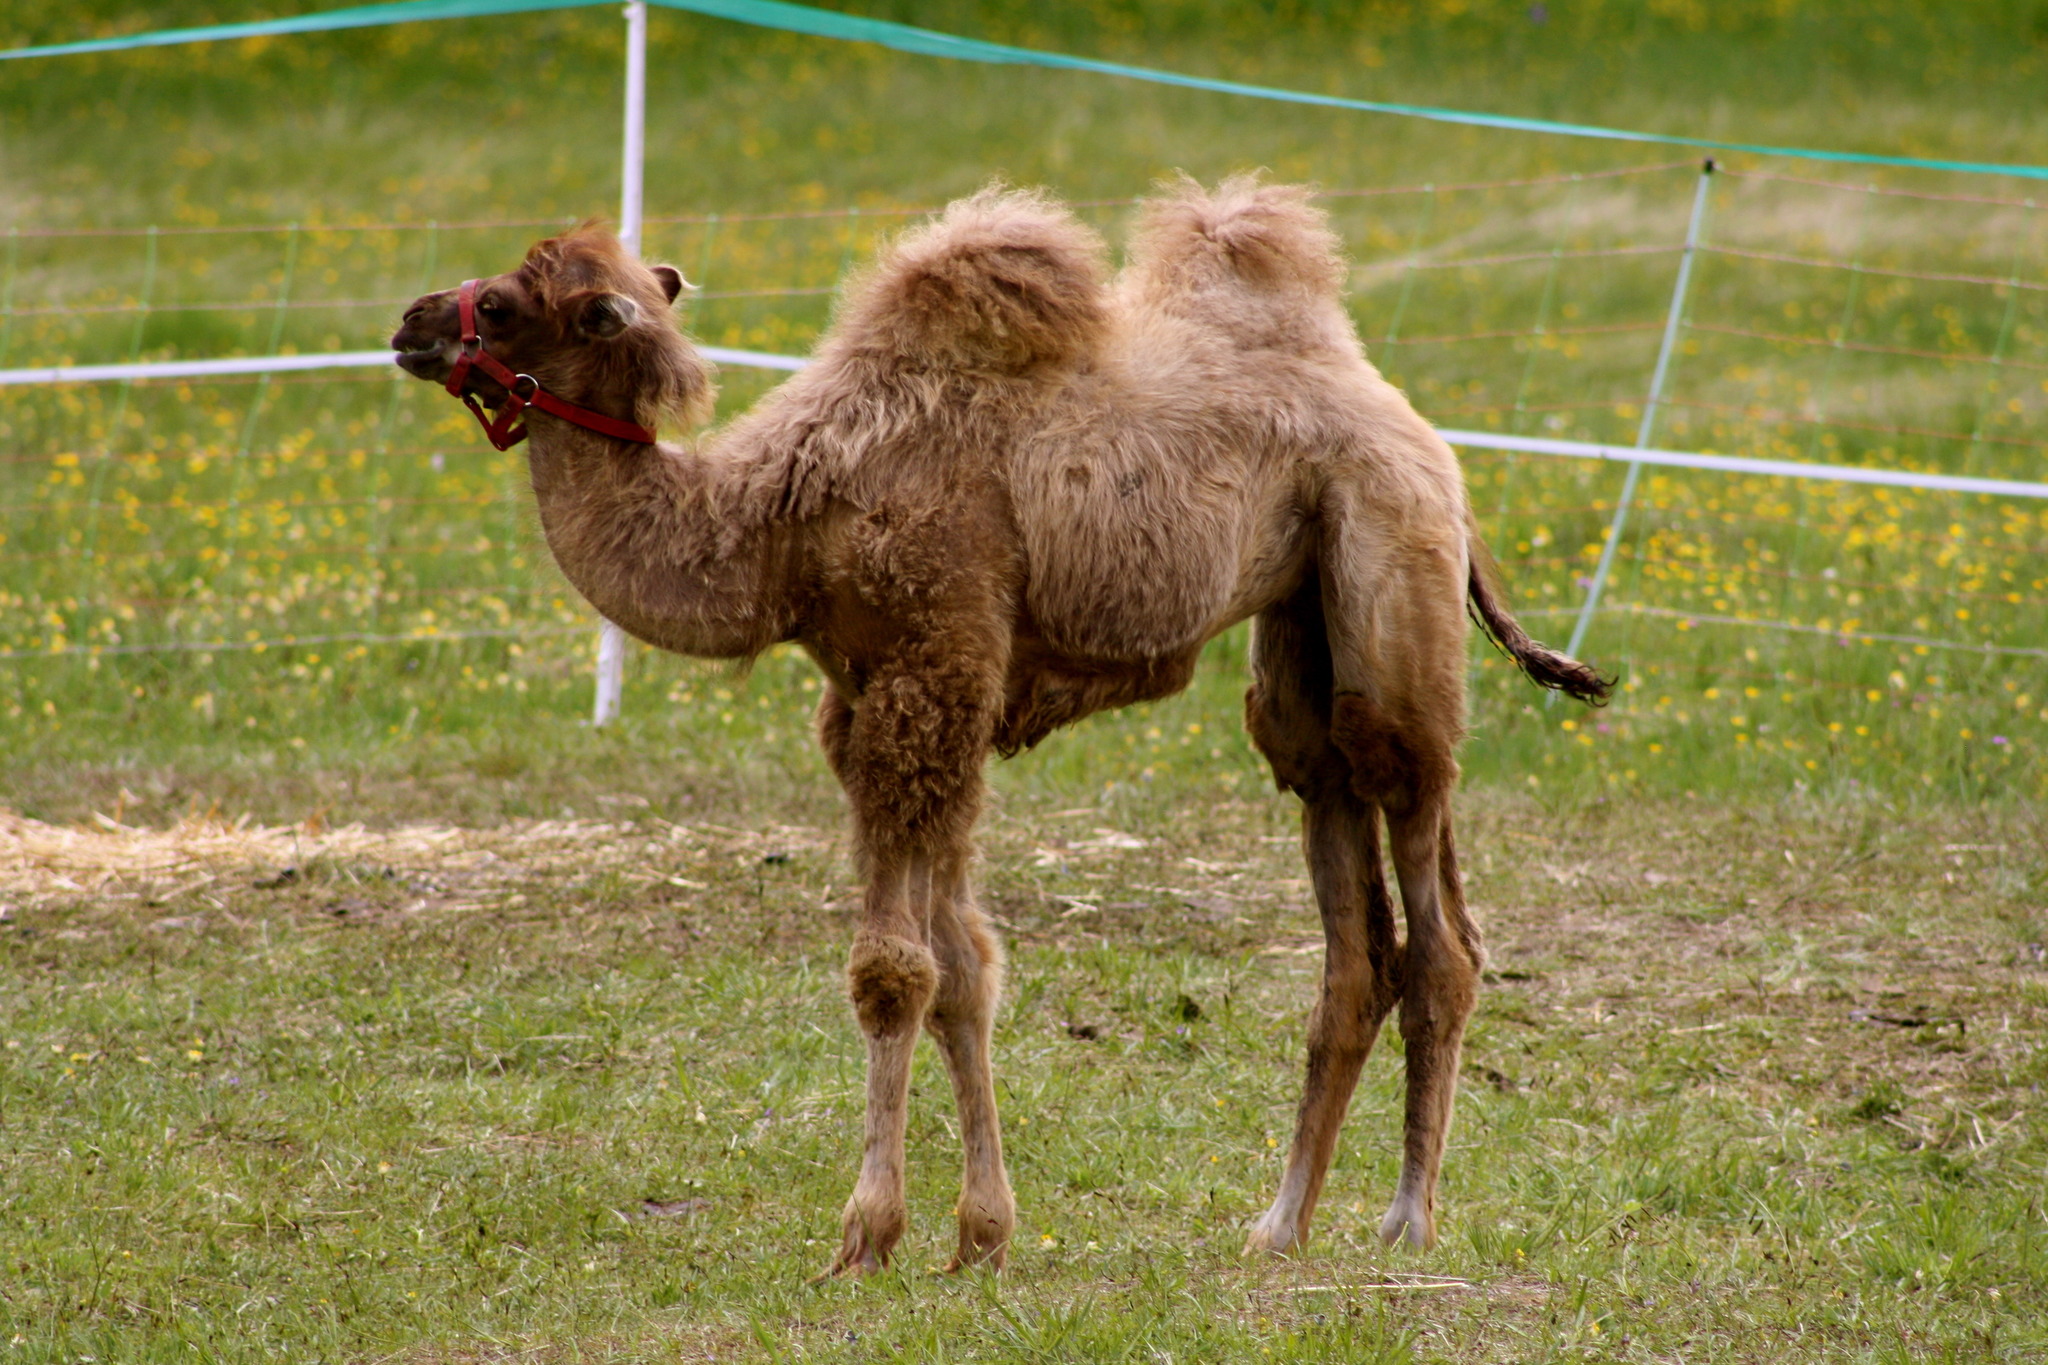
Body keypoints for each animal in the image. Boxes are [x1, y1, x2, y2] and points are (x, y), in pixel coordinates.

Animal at [390, 177, 1610, 1277]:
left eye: (501, 303)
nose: (409, 323)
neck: (782, 524)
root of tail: (1412, 426)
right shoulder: (875, 703)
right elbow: (963, 967)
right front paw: (979, 1237)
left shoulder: (935, 673)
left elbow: (896, 971)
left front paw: (867, 1237)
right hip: (1300, 635)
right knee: (1350, 924)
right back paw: (1280, 1227)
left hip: (1388, 571)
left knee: (1435, 914)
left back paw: (1408, 1225)